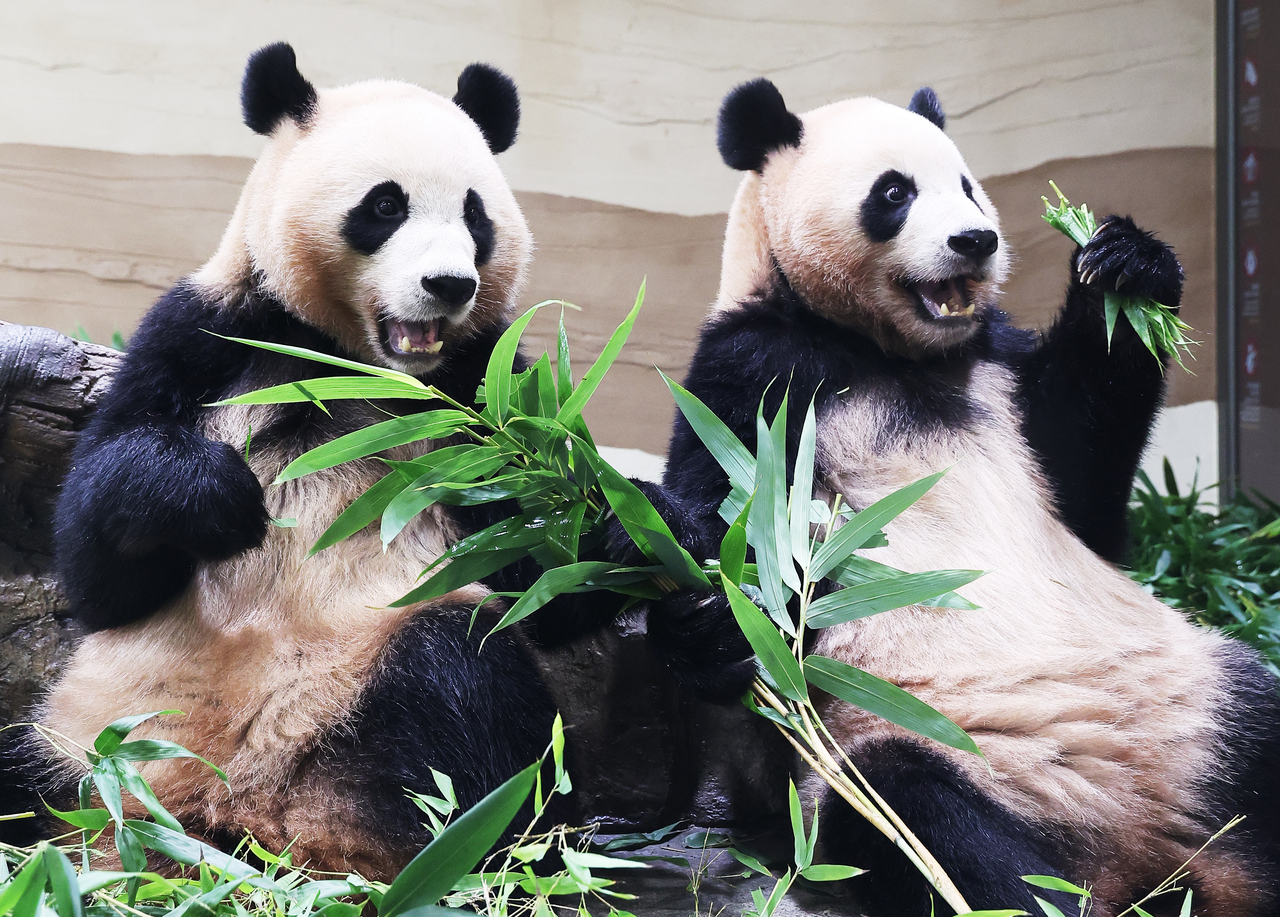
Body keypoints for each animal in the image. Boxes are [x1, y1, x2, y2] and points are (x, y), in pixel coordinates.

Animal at [0, 43, 700, 879]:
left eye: (474, 214)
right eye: (385, 205)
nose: (449, 285)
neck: (354, 362)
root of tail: (238, 821)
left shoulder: (483, 389)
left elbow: (536, 574)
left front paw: (645, 525)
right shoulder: (204, 334)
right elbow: (100, 563)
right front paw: (213, 495)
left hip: (362, 687)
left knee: (463, 679)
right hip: (94, 738)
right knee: (24, 776)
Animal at [648, 79, 1280, 916]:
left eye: (968, 185)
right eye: (894, 193)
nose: (976, 240)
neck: (891, 353)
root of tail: (1132, 851)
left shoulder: (1000, 368)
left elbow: (1086, 488)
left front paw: (1125, 268)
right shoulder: (755, 378)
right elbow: (728, 525)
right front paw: (707, 614)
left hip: (1196, 701)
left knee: (1259, 740)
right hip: (922, 745)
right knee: (924, 817)